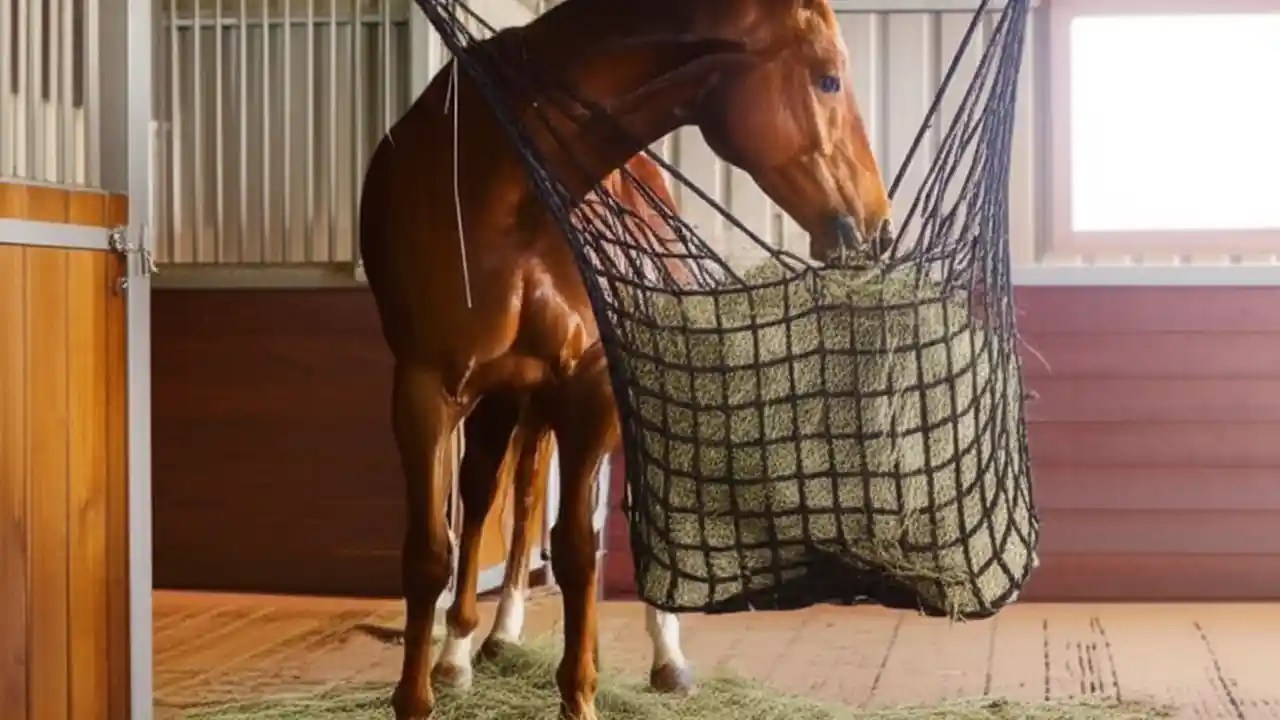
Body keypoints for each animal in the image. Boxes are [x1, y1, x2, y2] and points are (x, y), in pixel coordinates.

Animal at [356, 0, 893, 717]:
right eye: (829, 78)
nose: (879, 225)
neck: (507, 186)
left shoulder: (588, 383)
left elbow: (579, 549)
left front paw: (581, 691)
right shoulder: (426, 387)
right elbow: (430, 554)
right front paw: (428, 683)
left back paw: (664, 655)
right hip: (507, 397)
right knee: (498, 492)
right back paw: (468, 648)